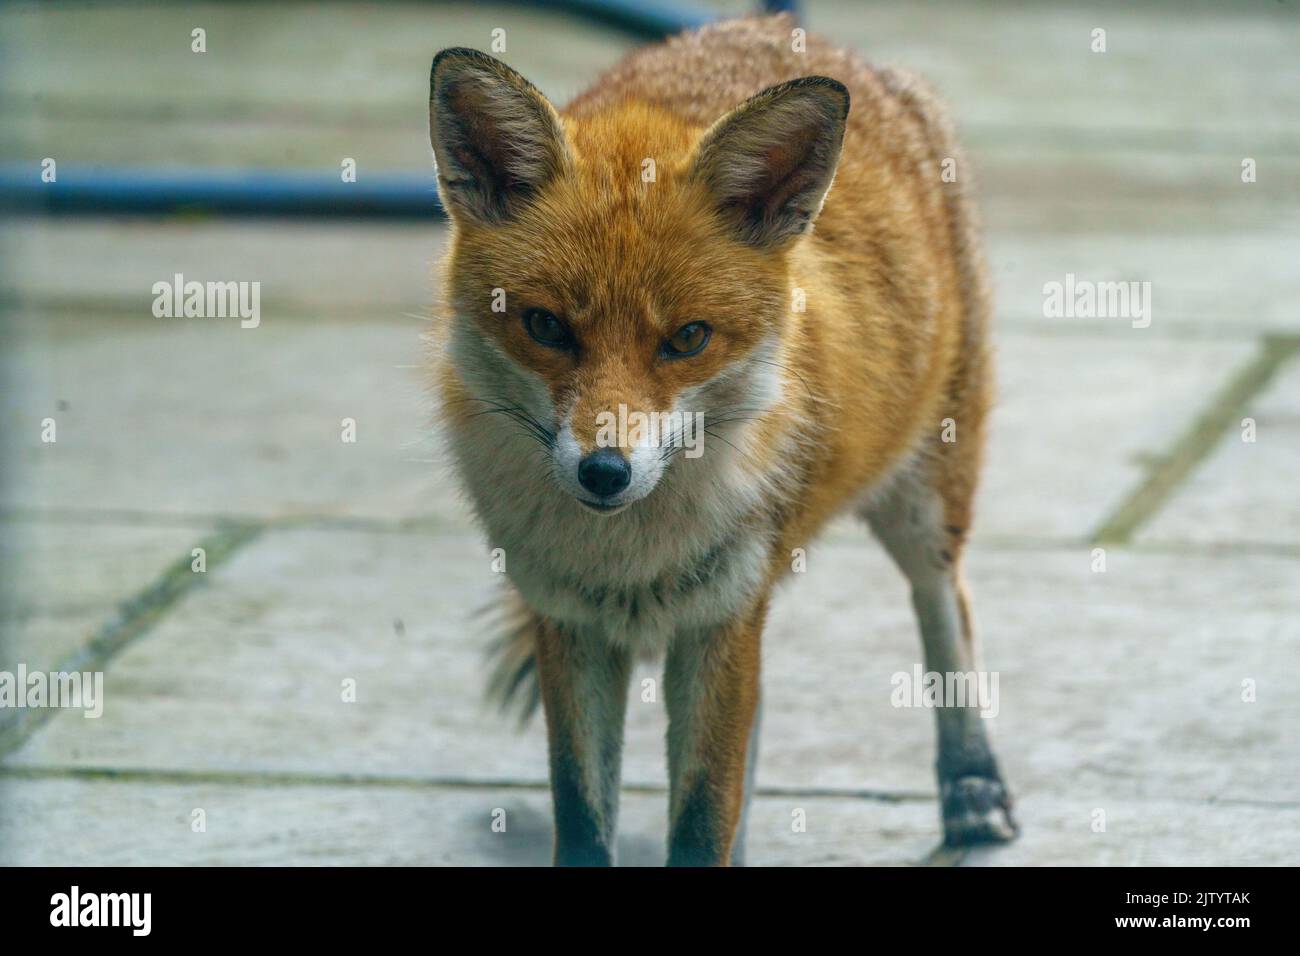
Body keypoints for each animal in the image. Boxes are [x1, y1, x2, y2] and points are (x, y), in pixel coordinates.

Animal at [427, 14, 1017, 866]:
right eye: (545, 326)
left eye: (687, 339)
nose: (604, 472)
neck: (628, 558)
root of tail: (800, 33)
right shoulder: (570, 620)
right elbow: (585, 813)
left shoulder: (721, 616)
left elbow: (704, 814)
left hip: (925, 494)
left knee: (948, 607)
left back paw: (973, 784)